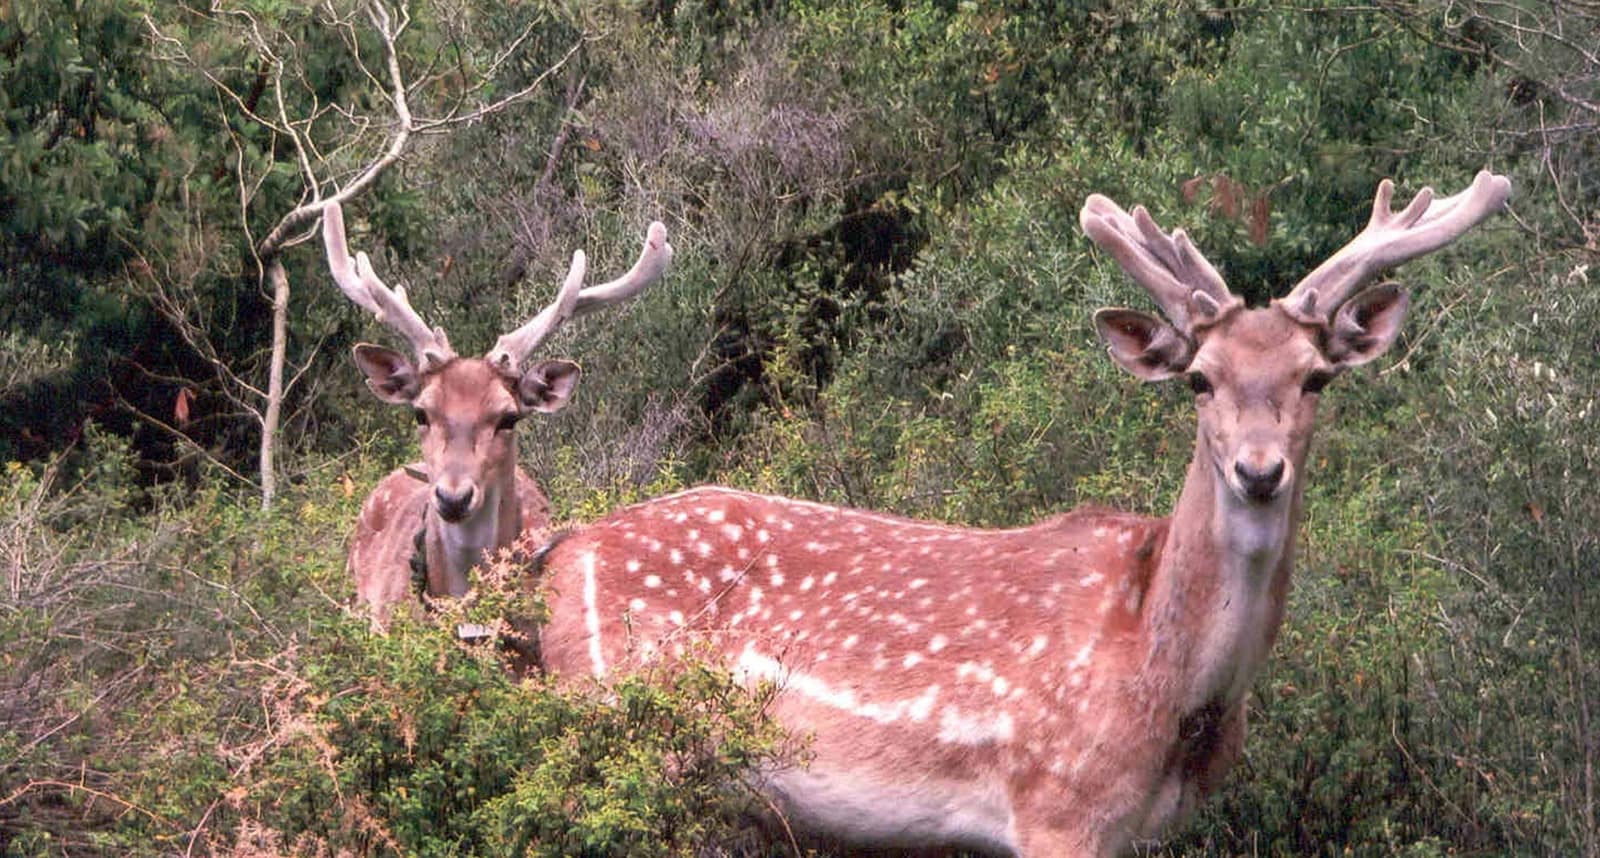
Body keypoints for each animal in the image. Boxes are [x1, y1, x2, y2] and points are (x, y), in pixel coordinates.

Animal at [527, 171, 1510, 856]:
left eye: (1315, 378)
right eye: (1200, 378)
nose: (1258, 469)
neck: (1167, 680)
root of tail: (556, 554)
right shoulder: (1056, 807)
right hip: (615, 729)